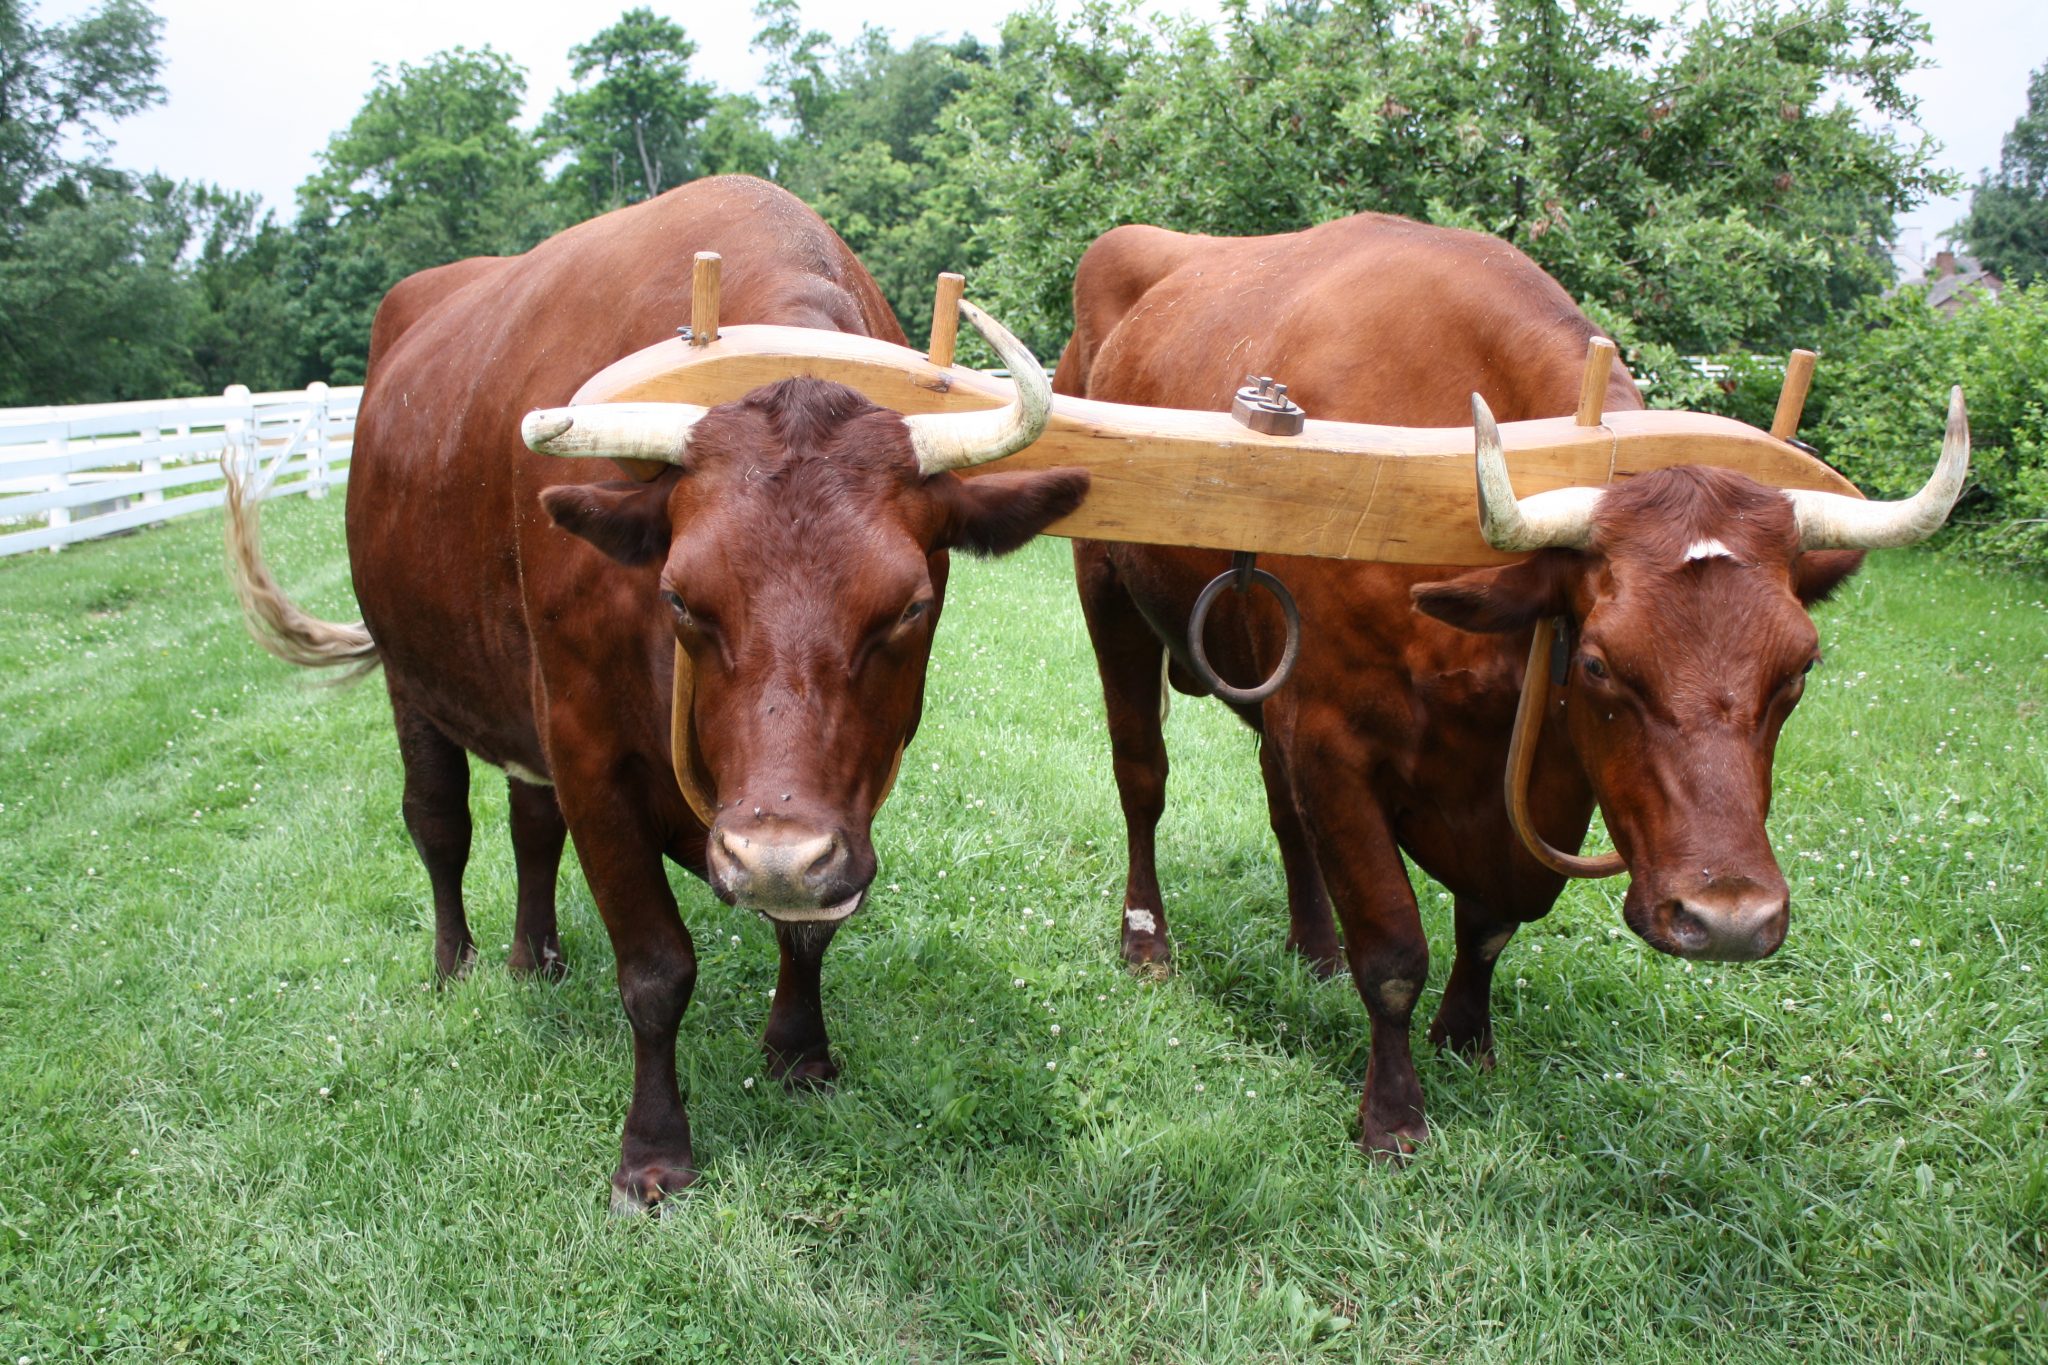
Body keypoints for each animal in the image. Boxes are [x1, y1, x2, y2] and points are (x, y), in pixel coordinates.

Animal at [225, 175, 1088, 1209]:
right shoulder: (587, 747)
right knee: (438, 821)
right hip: (412, 674)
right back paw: (456, 965)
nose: (771, 856)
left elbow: (807, 931)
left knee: (528, 824)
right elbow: (654, 968)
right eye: (679, 594)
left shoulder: (838, 801)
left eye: (911, 605)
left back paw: (536, 958)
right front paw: (652, 1152)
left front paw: (800, 1051)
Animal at [1055, 213, 1967, 1156]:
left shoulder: (1530, 777)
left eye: (1801, 667)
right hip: (1108, 591)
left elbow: (1491, 922)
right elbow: (1393, 949)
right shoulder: (1334, 739)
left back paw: (1314, 949)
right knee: (1142, 777)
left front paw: (1466, 1039)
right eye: (1599, 661)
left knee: (1280, 805)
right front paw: (1393, 1116)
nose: (1729, 920)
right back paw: (1148, 943)